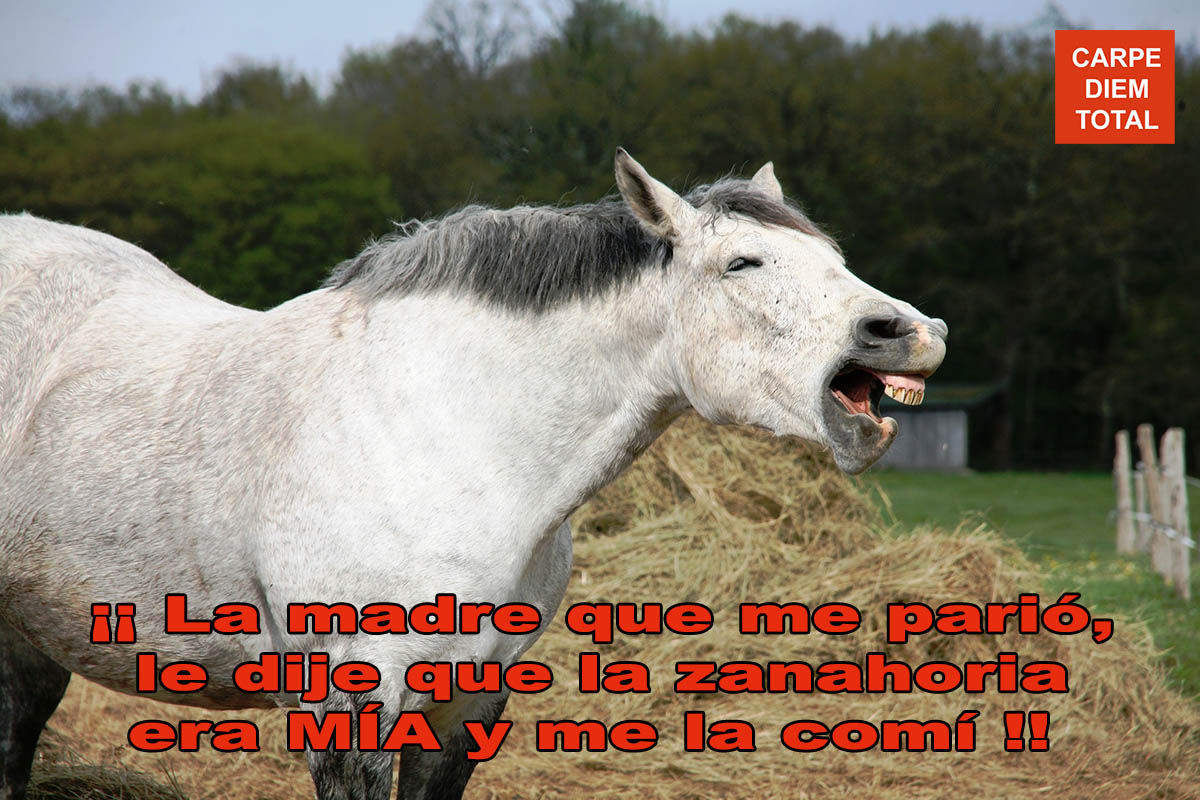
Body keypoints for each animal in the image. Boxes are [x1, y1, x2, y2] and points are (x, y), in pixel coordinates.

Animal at [0, 149, 946, 800]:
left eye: (833, 259)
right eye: (741, 264)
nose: (908, 332)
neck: (452, 438)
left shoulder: (466, 703)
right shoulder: (350, 704)